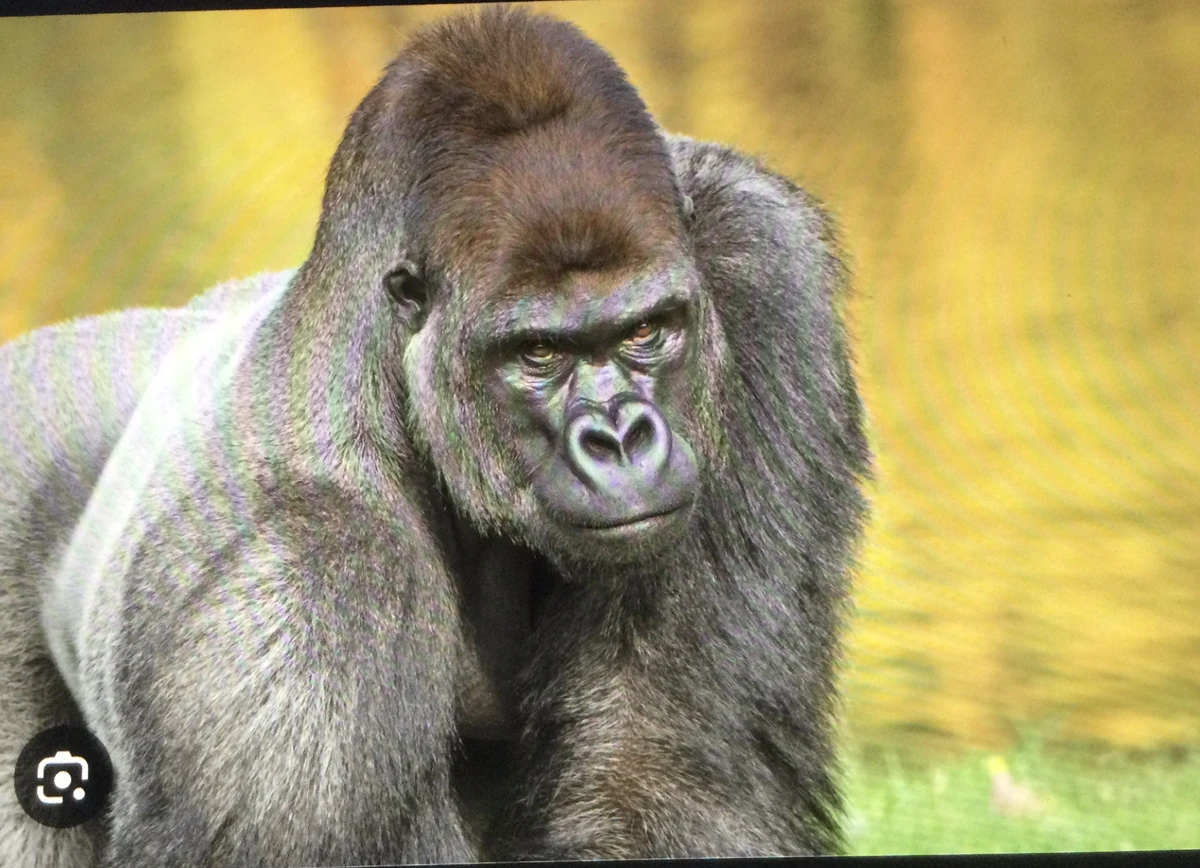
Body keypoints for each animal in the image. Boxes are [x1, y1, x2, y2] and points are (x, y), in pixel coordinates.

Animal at [0, 7, 870, 867]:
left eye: (647, 331)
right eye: (538, 354)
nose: (622, 439)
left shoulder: (756, 251)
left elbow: (660, 769)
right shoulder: (301, 608)